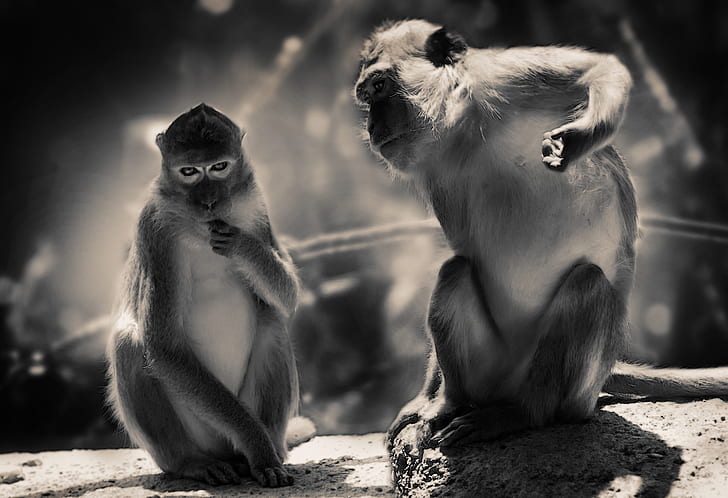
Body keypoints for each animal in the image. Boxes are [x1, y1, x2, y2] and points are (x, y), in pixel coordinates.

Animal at [106, 103, 311, 487]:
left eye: (219, 167)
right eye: (189, 172)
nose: (210, 201)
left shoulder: (256, 206)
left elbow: (288, 296)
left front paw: (242, 246)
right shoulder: (155, 233)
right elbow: (165, 349)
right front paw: (256, 444)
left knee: (272, 322)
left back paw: (273, 448)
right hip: (199, 429)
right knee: (127, 344)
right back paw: (195, 462)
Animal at [354, 20, 728, 449]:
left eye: (380, 87)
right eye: (367, 97)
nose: (372, 126)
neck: (462, 132)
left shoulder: (501, 77)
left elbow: (599, 69)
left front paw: (578, 140)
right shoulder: (434, 170)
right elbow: (465, 253)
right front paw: (423, 401)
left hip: (574, 389)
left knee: (586, 285)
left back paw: (523, 414)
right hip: (491, 368)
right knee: (456, 270)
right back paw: (451, 402)